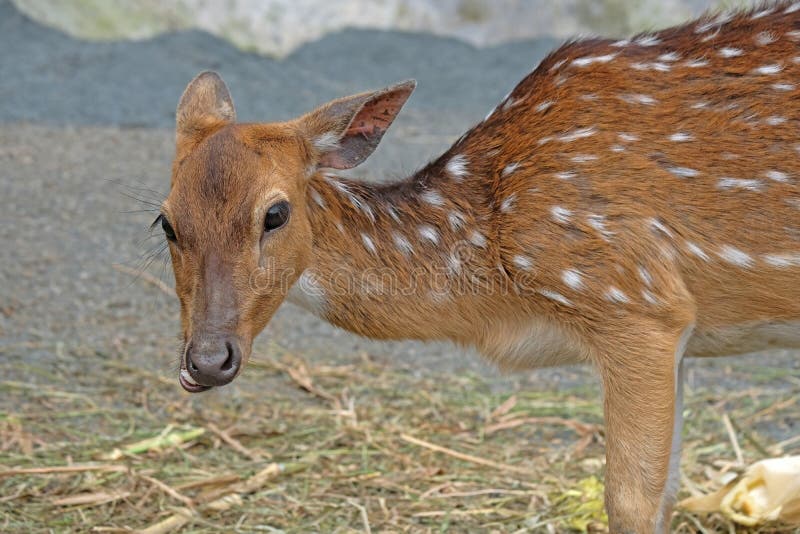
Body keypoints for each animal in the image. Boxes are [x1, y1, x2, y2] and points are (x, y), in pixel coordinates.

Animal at [158, 2, 800, 532]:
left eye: (275, 213)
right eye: (165, 222)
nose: (207, 360)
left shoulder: (635, 302)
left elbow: (631, 500)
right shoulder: (677, 334)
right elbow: (667, 491)